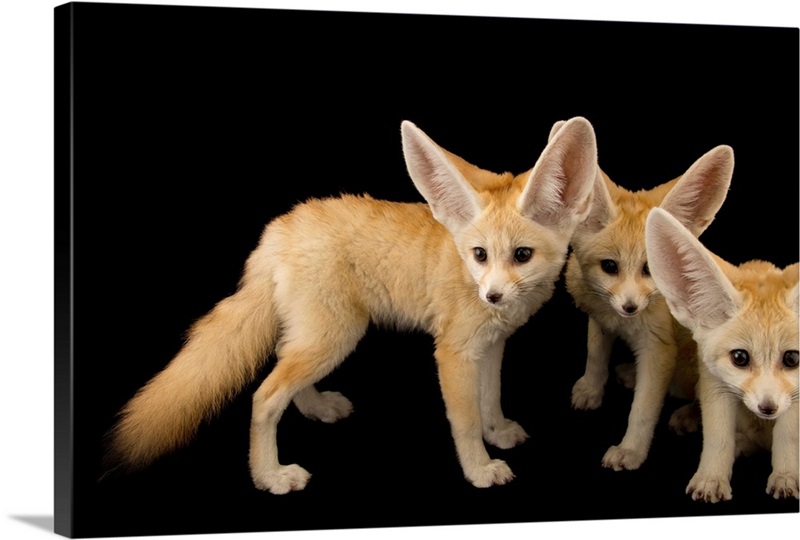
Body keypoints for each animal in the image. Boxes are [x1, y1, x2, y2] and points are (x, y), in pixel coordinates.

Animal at [103, 117, 598, 494]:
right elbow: (465, 420)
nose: (492, 295)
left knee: (284, 363)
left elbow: (490, 398)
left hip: (317, 336)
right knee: (265, 396)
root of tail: (280, 228)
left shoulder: (491, 346)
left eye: (521, 255)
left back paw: (317, 408)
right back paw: (269, 476)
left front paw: (499, 432)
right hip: (335, 336)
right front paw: (479, 468)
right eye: (480, 255)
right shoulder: (453, 353)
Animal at [560, 120, 735, 471]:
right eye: (610, 266)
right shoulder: (600, 317)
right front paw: (591, 388)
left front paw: (630, 450)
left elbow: (643, 409)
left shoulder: (659, 348)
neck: (624, 322)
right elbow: (595, 354)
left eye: (650, 268)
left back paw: (688, 415)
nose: (630, 307)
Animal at [645, 207, 799, 502]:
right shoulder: (714, 380)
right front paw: (711, 478)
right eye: (740, 358)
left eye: (792, 359)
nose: (768, 408)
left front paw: (787, 476)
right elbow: (718, 436)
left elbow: (788, 434)